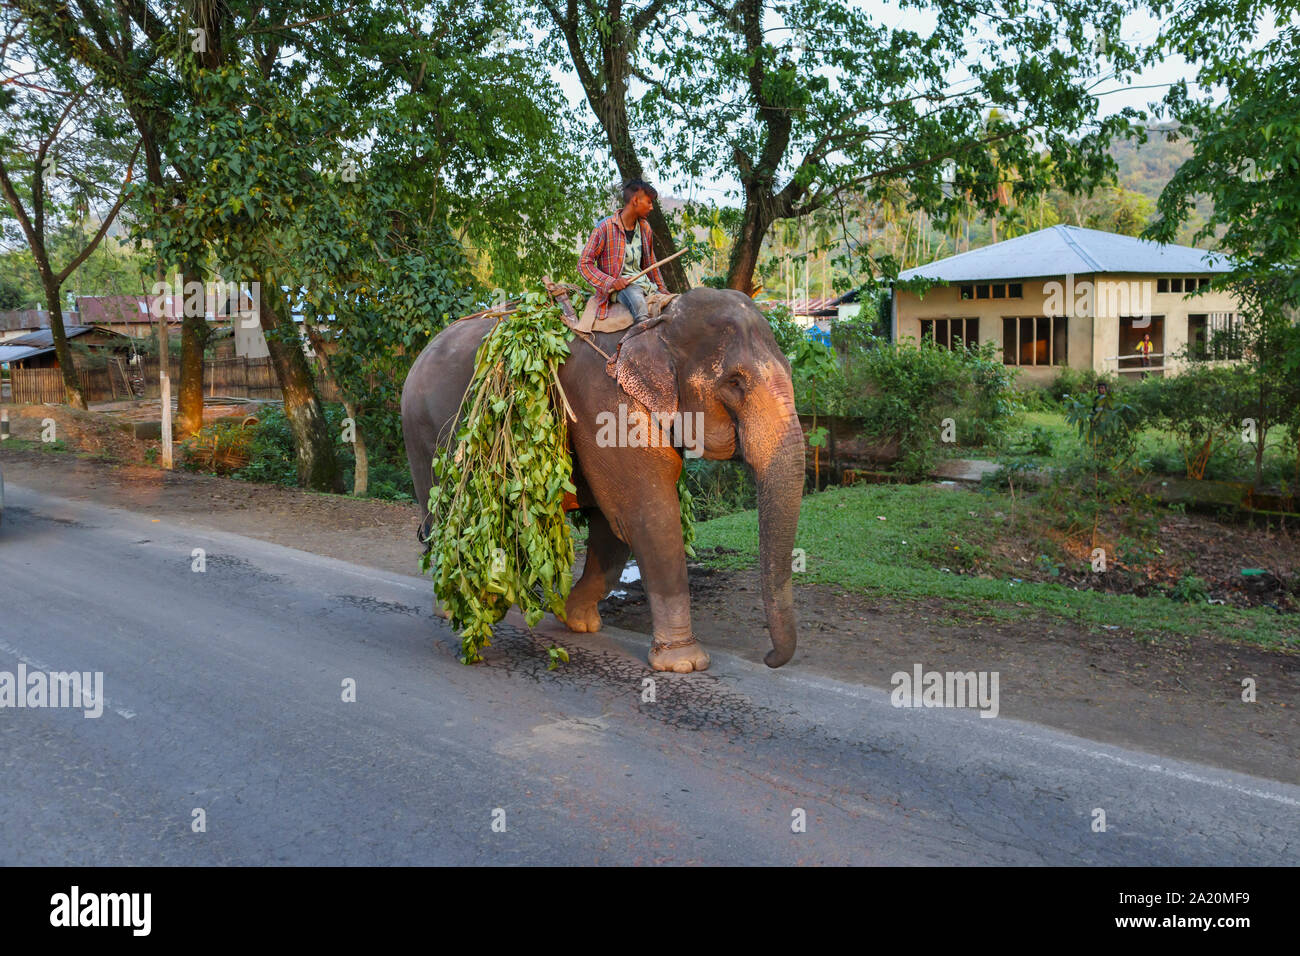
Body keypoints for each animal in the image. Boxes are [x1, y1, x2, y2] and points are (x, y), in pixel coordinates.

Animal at [400, 287, 804, 672]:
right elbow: (645, 514)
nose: (769, 658)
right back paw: (457, 607)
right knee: (445, 518)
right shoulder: (605, 402)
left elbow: (613, 527)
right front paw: (684, 663)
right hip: (428, 433)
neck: (661, 318)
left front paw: (575, 619)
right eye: (735, 382)